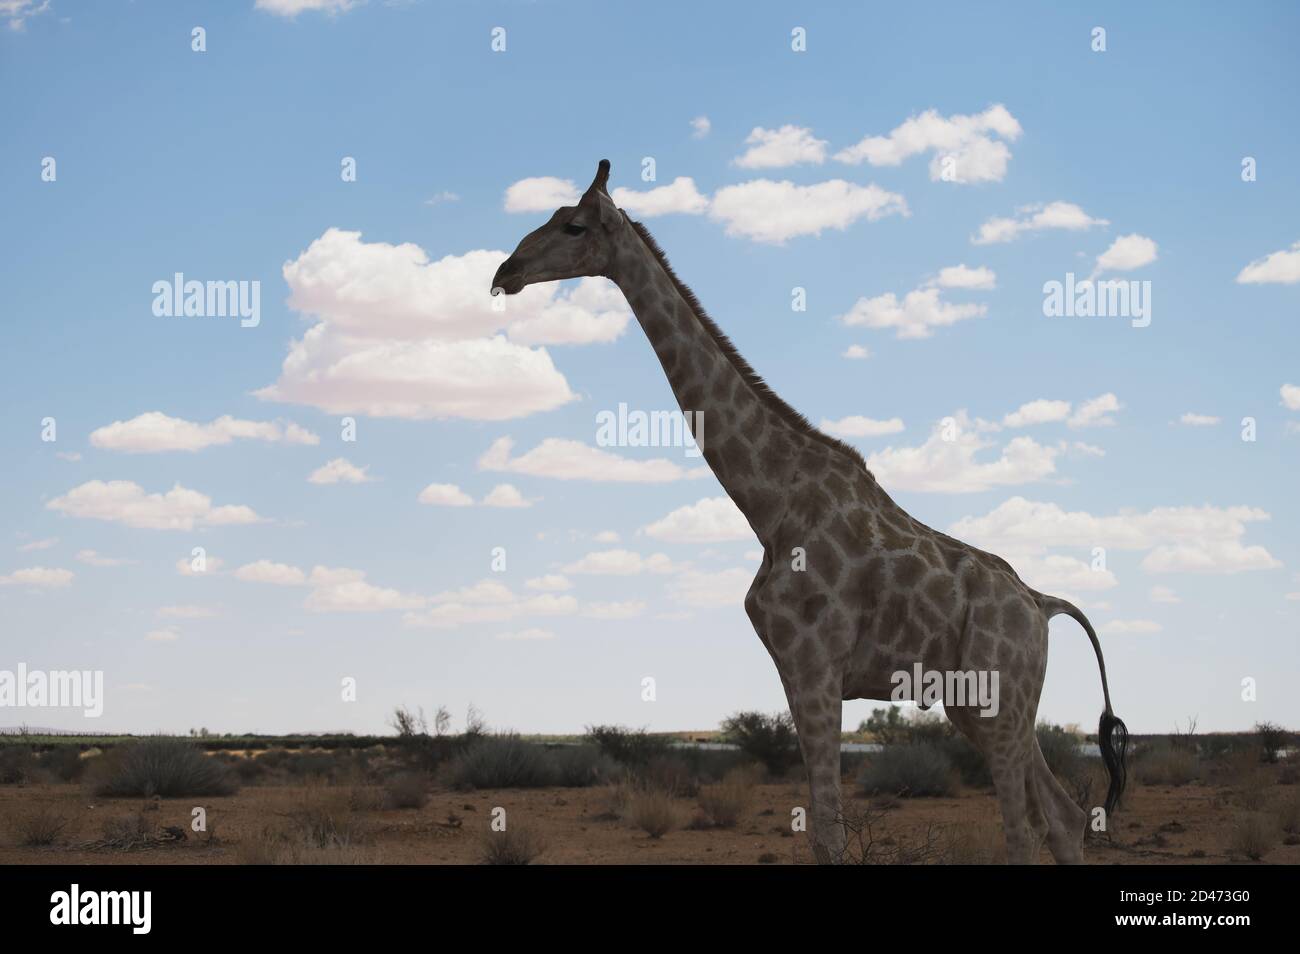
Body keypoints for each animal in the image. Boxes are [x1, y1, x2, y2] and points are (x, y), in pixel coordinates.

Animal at [492, 161, 1129, 864]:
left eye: (573, 226)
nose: (504, 272)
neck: (769, 504)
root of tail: (1042, 604)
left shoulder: (817, 664)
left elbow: (829, 832)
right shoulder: (793, 671)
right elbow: (823, 832)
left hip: (1001, 701)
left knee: (1025, 830)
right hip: (981, 704)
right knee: (1064, 816)